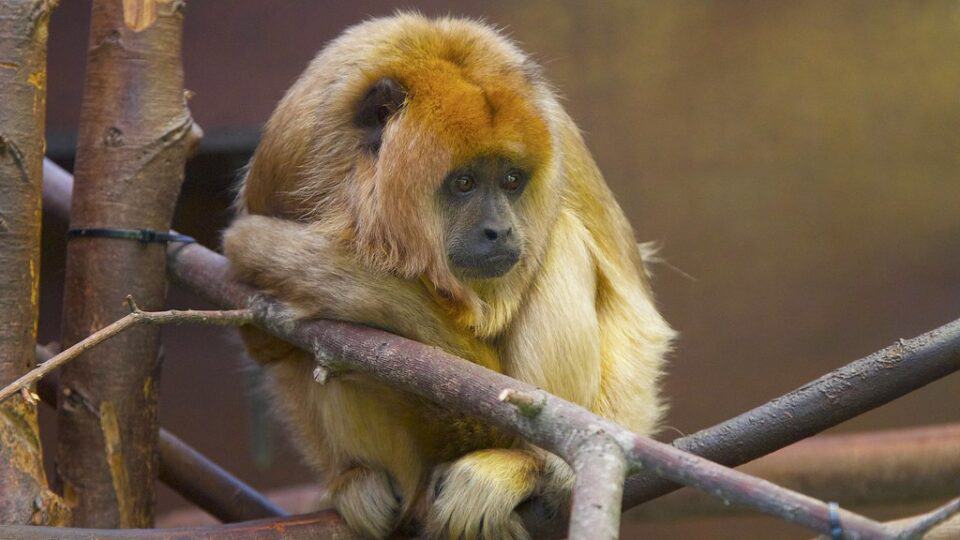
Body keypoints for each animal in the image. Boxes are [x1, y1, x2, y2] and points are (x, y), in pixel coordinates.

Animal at [222, 13, 675, 540]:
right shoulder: (288, 150)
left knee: (562, 238)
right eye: (464, 183)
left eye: (512, 180)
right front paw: (346, 477)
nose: (500, 230)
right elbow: (268, 345)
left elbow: (634, 316)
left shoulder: (562, 139)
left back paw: (520, 465)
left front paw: (563, 472)